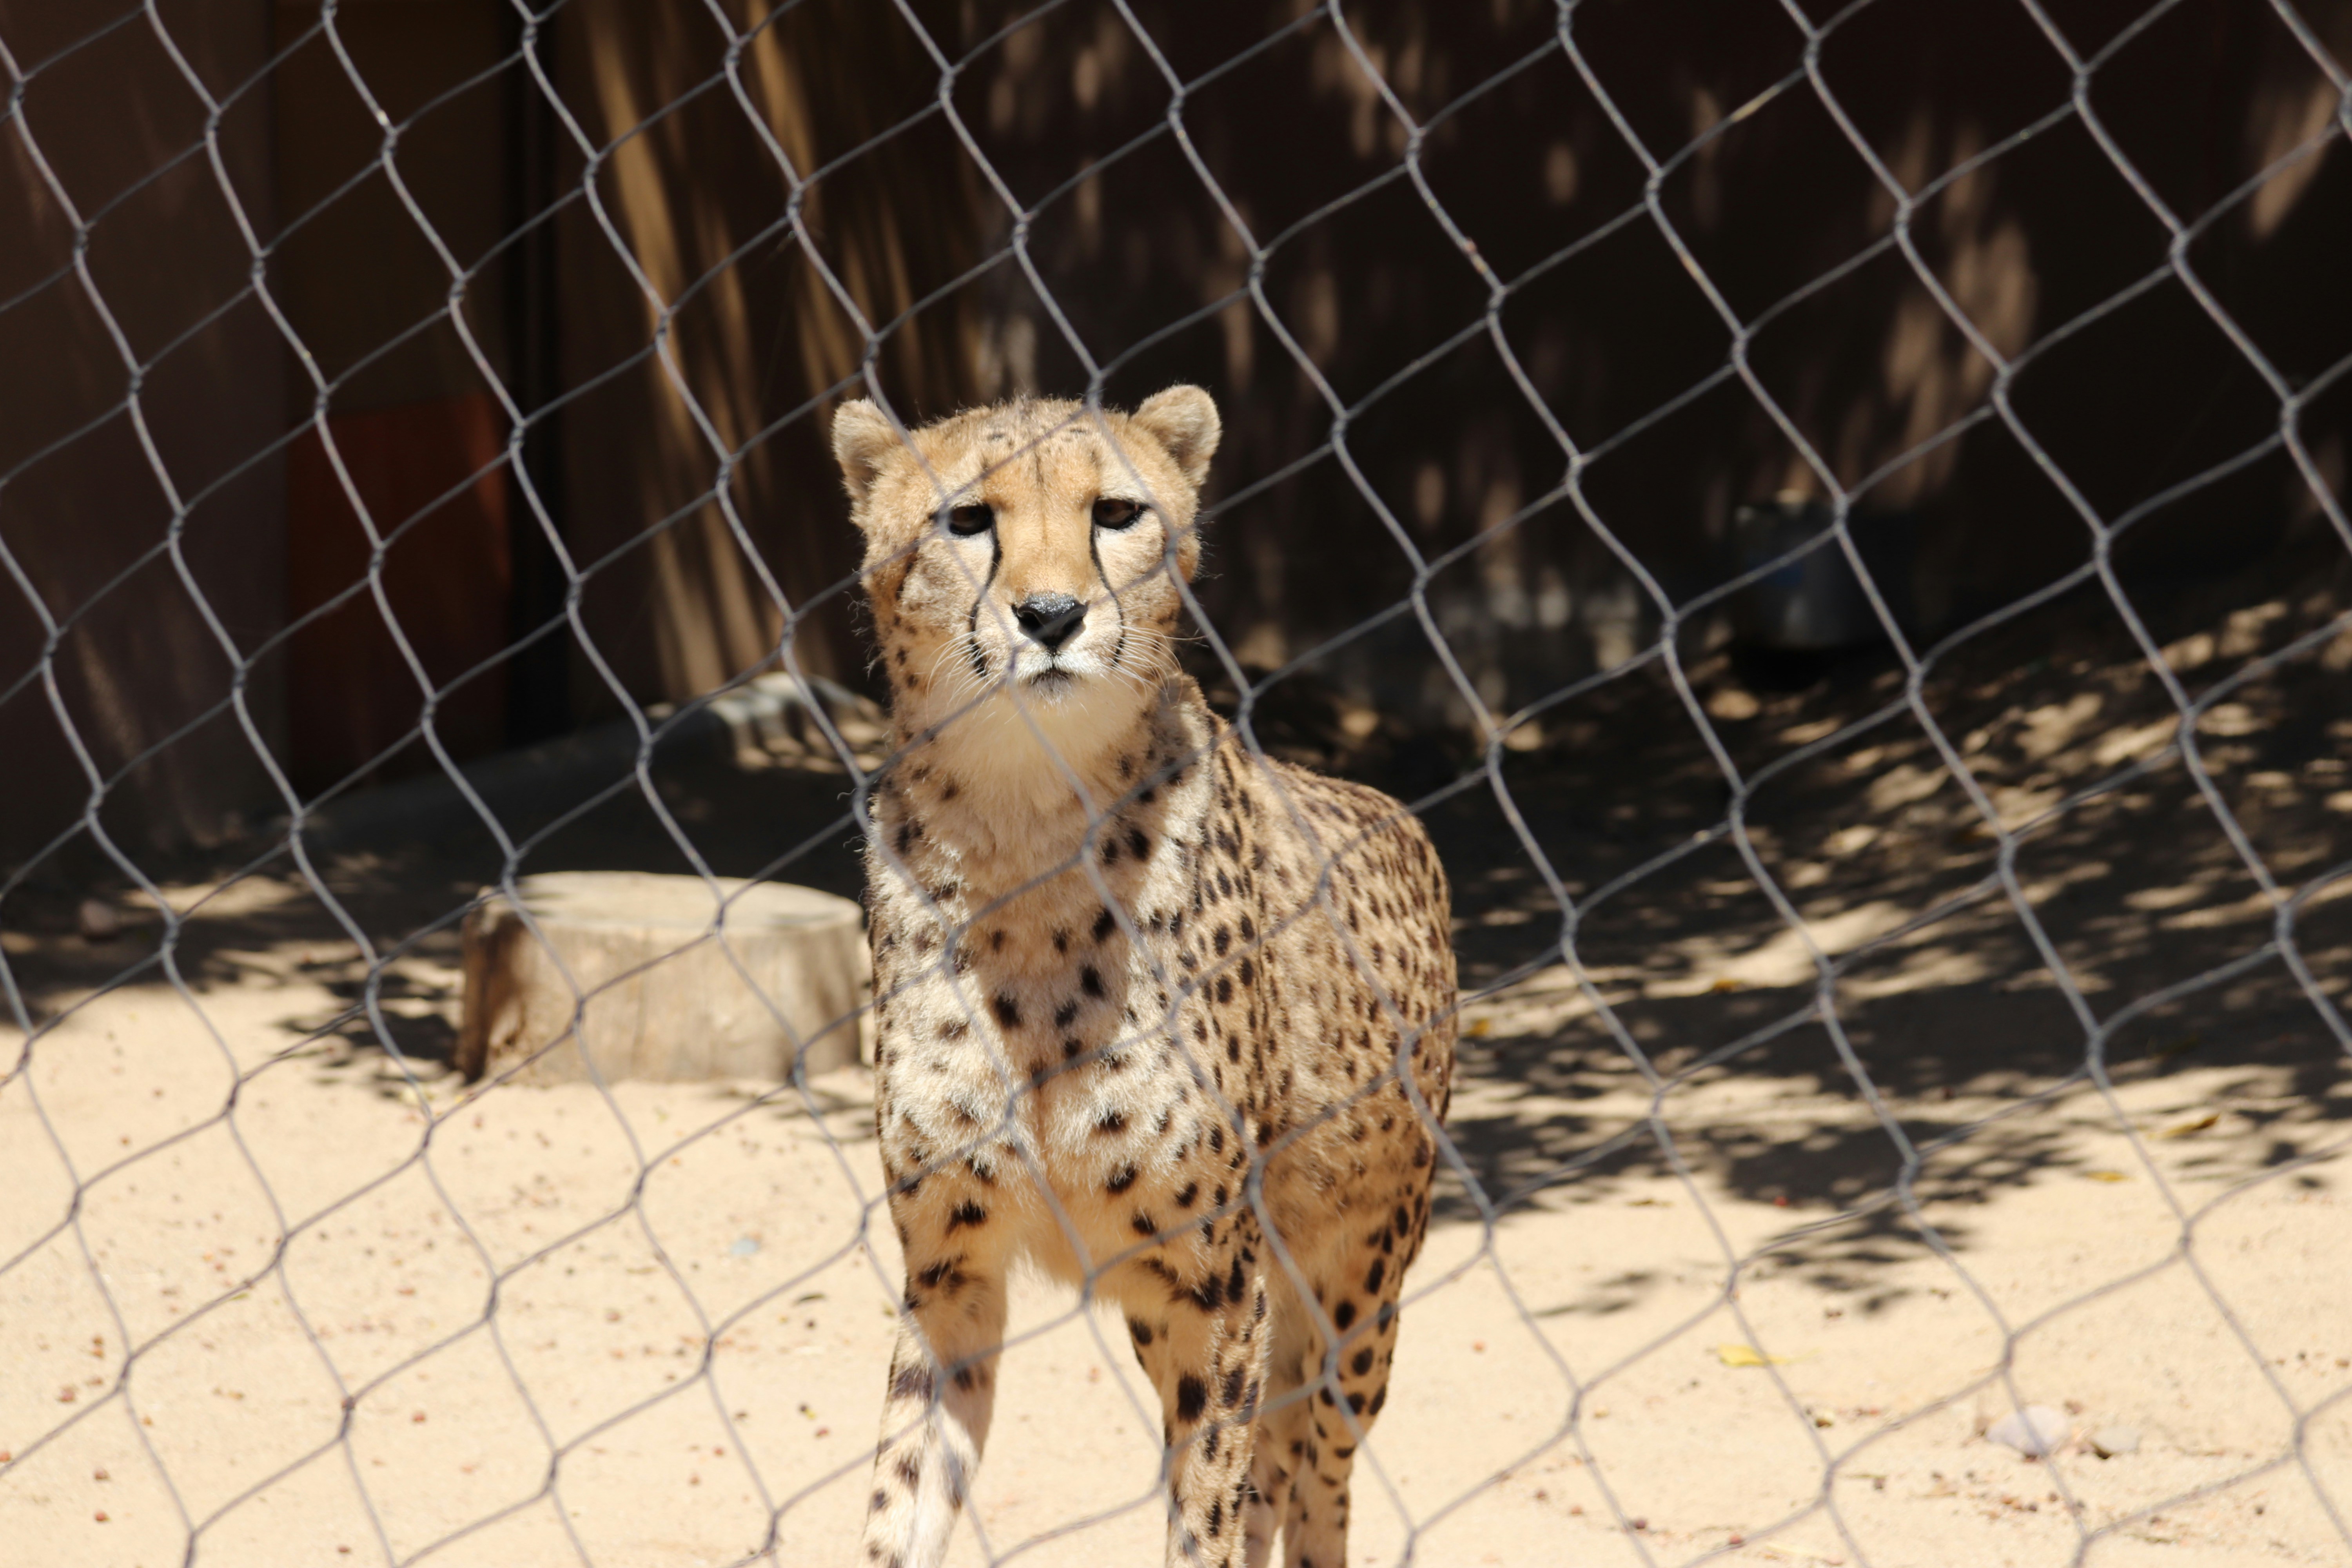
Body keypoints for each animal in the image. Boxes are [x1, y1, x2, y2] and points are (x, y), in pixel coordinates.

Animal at [833, 384, 1457, 1568]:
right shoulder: (949, 1272)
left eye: (1114, 512)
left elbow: (1209, 1514)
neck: (1024, 820)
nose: (1050, 615)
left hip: (1358, 1290)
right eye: (968, 520)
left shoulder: (1217, 1292)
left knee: (1313, 1472)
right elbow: (895, 1500)